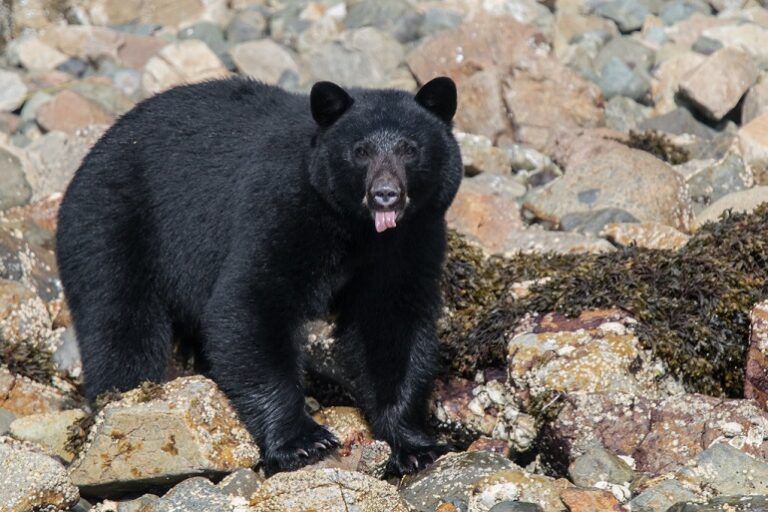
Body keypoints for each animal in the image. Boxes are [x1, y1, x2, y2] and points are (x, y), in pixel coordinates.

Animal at [55, 76, 463, 475]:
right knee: (119, 322)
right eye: (360, 151)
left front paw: (414, 444)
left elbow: (394, 324)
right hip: (110, 225)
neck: (359, 232)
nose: (385, 194)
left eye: (410, 149)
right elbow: (251, 303)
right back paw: (123, 396)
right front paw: (302, 441)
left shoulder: (412, 238)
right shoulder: (283, 208)